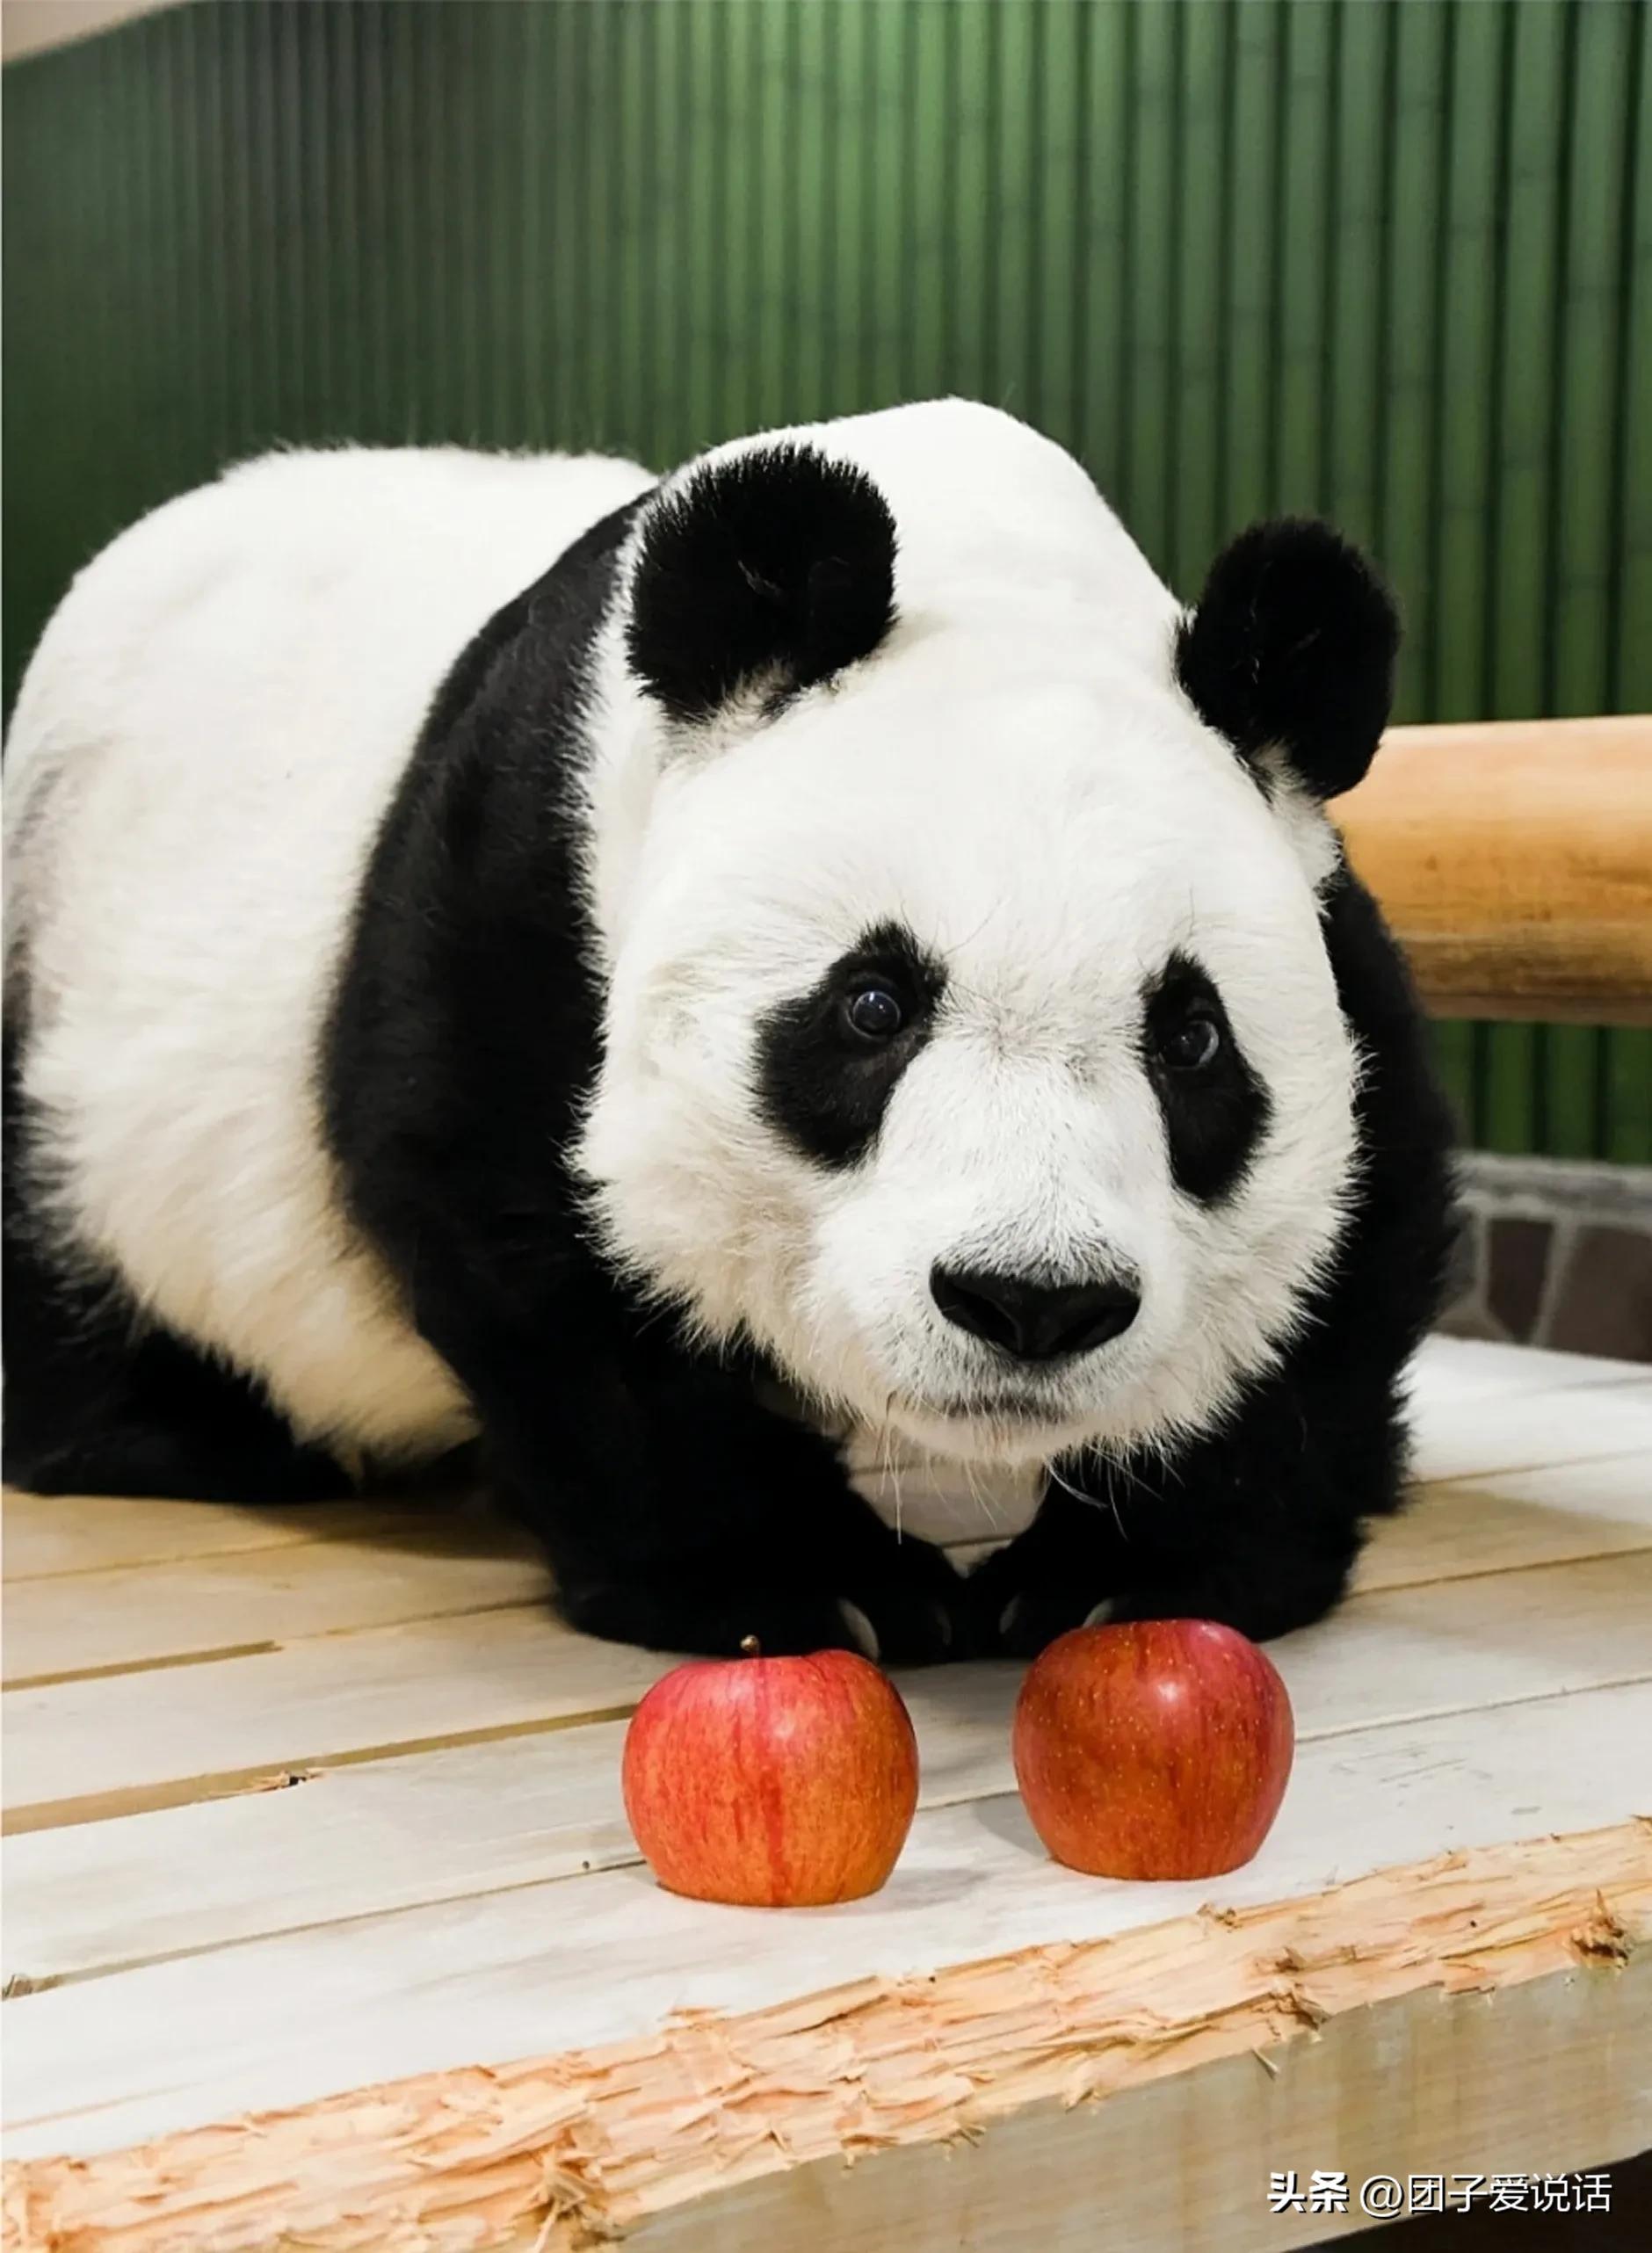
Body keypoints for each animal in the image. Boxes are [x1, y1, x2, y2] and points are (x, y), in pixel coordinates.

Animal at [2, 399, 1454, 1664]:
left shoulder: (1326, 922)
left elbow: (1356, 1234)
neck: (982, 580)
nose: (1030, 1303)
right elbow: (539, 1247)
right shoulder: (520, 895)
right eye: (871, 1009)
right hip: (63, 940)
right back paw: (182, 1435)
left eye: (1190, 1042)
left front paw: (1127, 1573)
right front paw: (809, 1584)